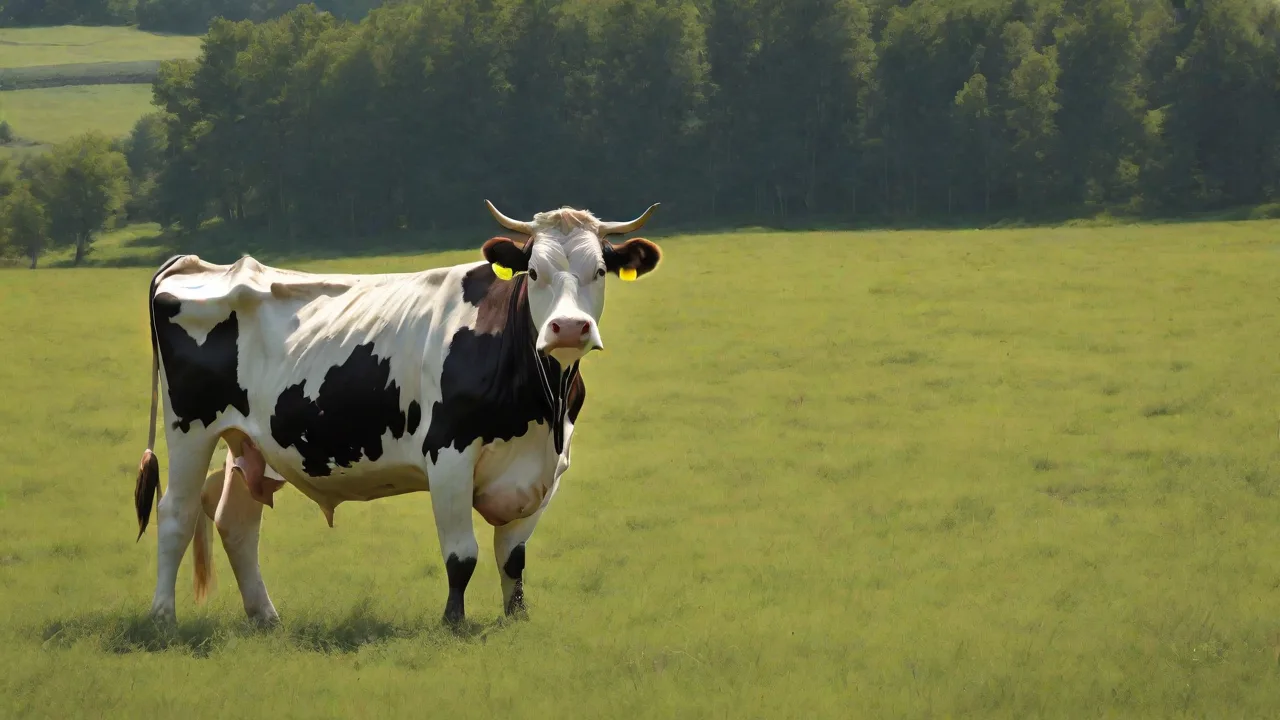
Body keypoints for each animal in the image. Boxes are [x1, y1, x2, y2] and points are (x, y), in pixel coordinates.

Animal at [132, 200, 663, 627]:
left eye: (600, 271)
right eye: (534, 273)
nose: (569, 327)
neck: (540, 408)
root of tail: (197, 265)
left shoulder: (545, 470)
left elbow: (513, 559)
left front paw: (516, 621)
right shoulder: (448, 454)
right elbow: (462, 556)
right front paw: (452, 624)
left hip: (249, 442)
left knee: (236, 524)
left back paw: (265, 618)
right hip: (190, 429)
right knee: (176, 513)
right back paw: (162, 618)